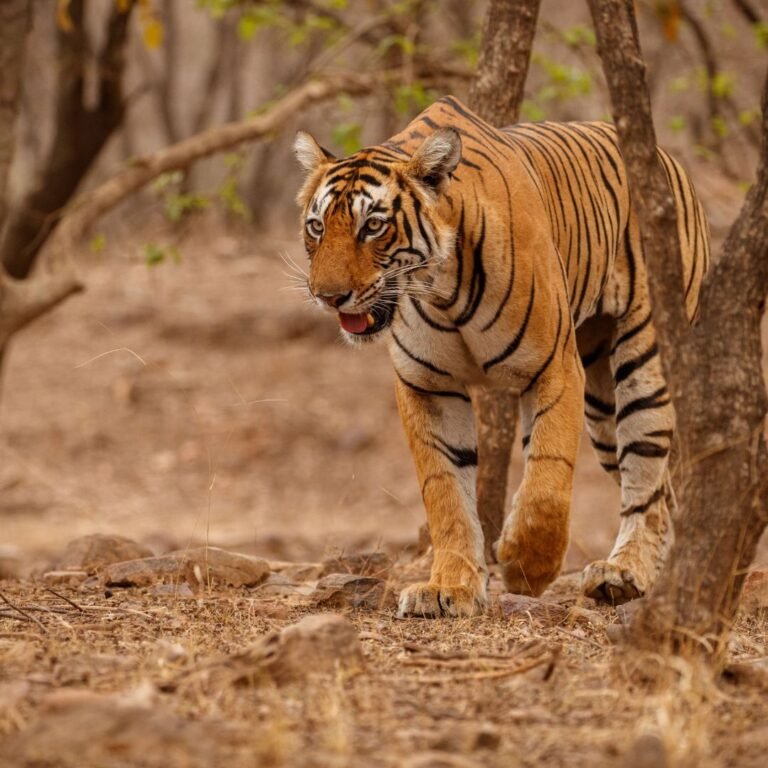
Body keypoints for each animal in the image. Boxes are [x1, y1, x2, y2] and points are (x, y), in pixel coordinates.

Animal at [293, 95, 710, 618]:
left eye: (373, 226)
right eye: (316, 227)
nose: (328, 296)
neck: (441, 291)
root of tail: (666, 158)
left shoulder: (554, 367)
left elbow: (547, 479)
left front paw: (525, 566)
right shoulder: (427, 385)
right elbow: (445, 490)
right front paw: (449, 588)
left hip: (643, 358)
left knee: (646, 478)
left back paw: (623, 572)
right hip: (601, 403)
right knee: (659, 490)